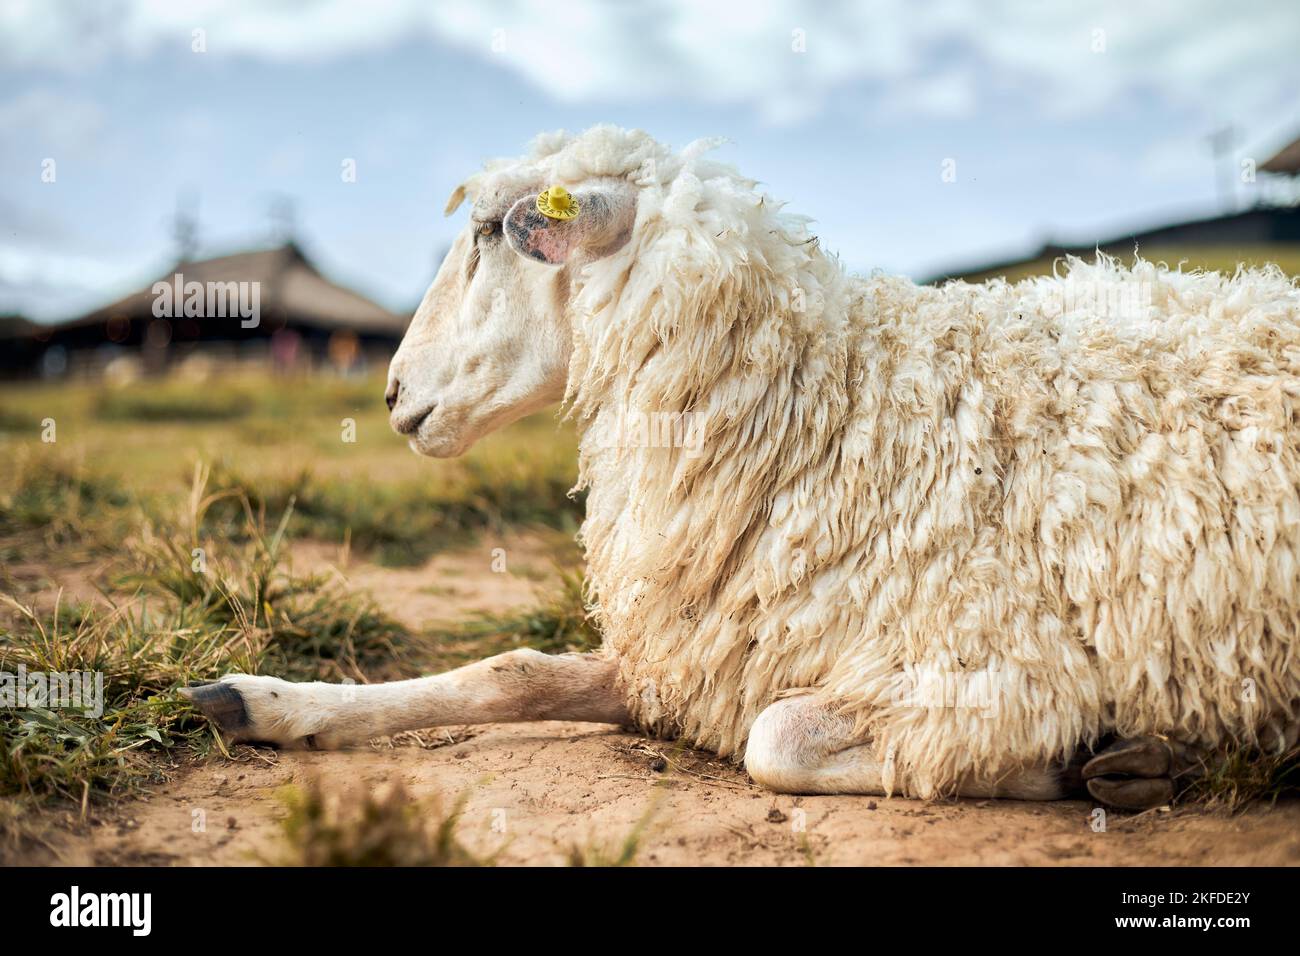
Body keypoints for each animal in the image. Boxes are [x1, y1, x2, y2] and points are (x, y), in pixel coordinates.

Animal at [186, 125, 1300, 810]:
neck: (832, 404)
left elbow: (780, 742)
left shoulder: (1001, 660)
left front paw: (1084, 762)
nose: (390, 392)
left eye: (488, 233)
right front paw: (269, 701)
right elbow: (509, 671)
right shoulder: (702, 651)